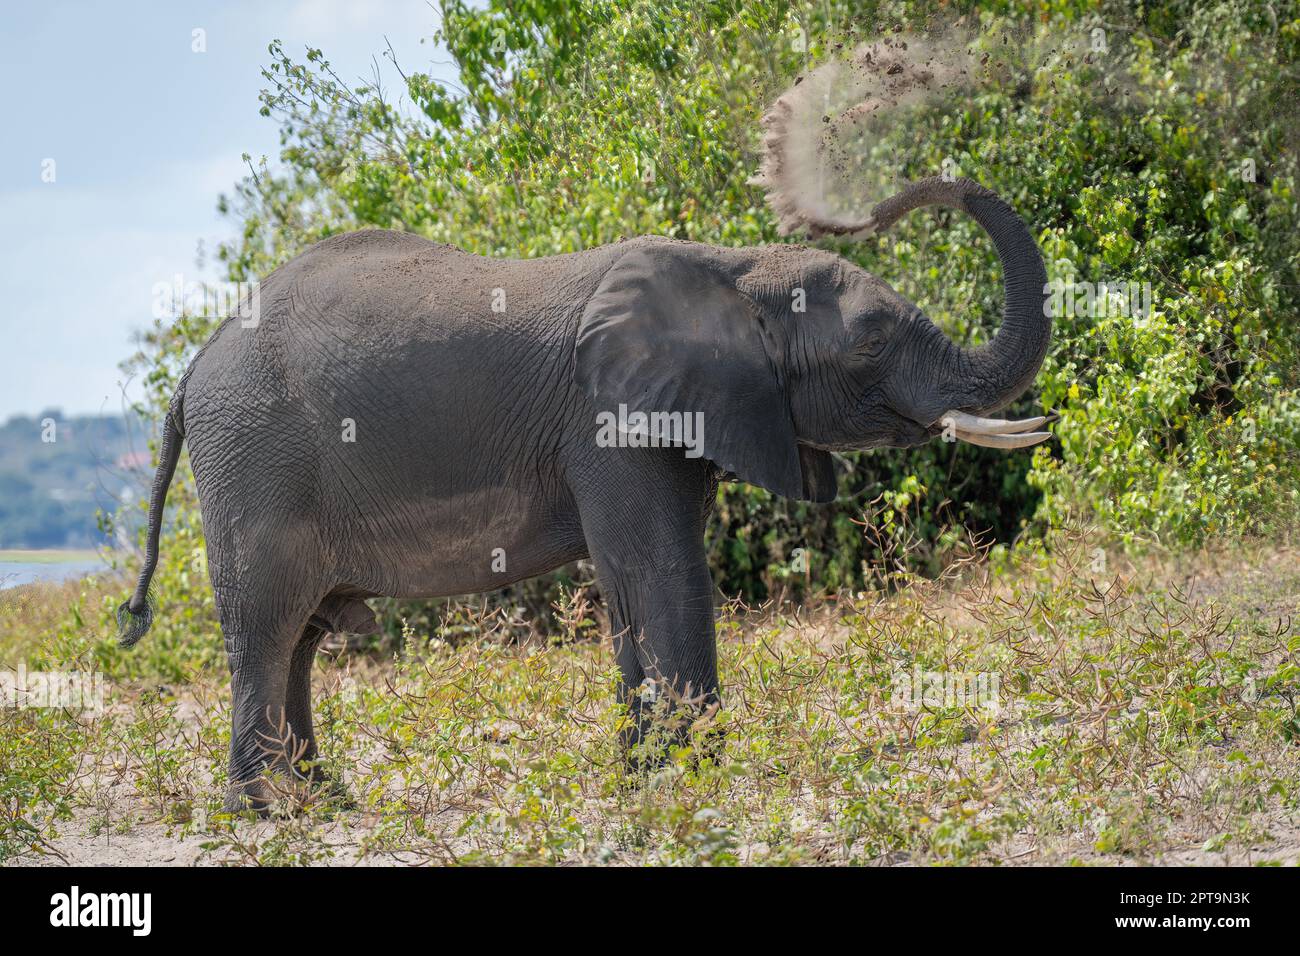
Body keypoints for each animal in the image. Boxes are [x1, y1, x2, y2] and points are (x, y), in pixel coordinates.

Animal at [115, 173, 1051, 811]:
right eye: (872, 343)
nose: (887, 202)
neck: (733, 266)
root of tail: (193, 367)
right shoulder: (606, 421)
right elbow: (661, 569)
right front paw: (694, 779)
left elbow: (638, 578)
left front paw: (646, 777)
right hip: (253, 456)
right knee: (266, 626)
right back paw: (265, 816)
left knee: (303, 636)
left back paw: (326, 801)